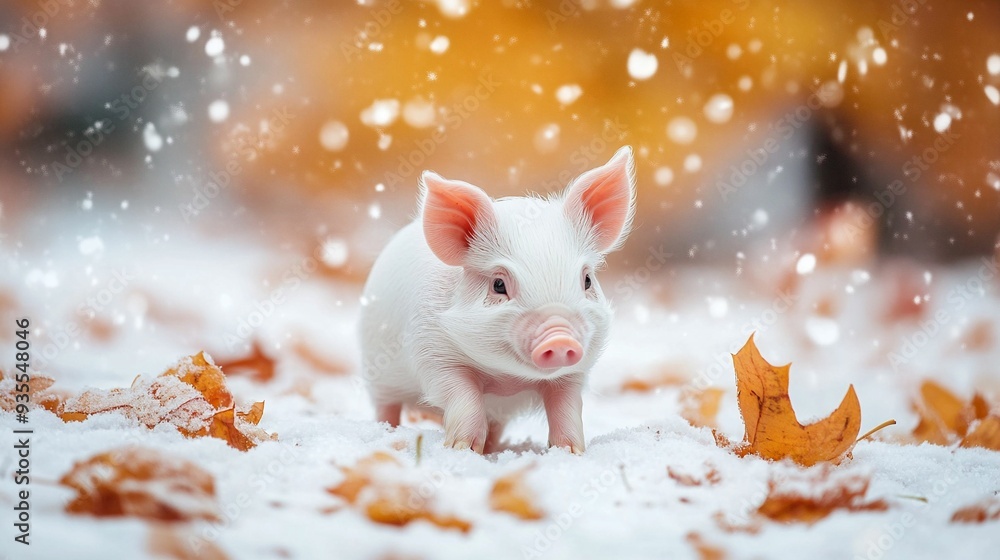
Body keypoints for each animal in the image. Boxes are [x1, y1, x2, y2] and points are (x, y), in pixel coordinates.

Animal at [359, 146, 636, 454]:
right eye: (499, 284)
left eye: (586, 280)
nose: (560, 338)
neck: (507, 382)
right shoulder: (432, 353)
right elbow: (462, 396)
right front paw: (461, 449)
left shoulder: (574, 373)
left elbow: (566, 408)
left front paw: (570, 451)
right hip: (377, 373)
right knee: (386, 406)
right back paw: (387, 431)